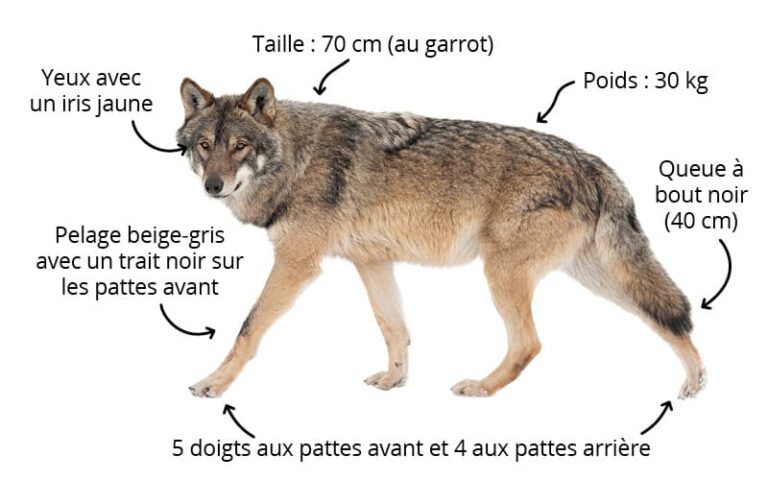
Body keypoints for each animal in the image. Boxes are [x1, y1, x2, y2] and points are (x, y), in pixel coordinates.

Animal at [176, 77, 705, 400]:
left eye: (239, 146)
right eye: (205, 145)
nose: (213, 186)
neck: (296, 159)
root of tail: (594, 163)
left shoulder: (296, 263)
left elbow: (247, 329)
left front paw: (213, 383)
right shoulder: (372, 263)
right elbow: (394, 327)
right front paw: (395, 379)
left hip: (502, 274)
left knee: (529, 344)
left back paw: (482, 388)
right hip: (601, 279)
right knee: (668, 317)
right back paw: (695, 380)